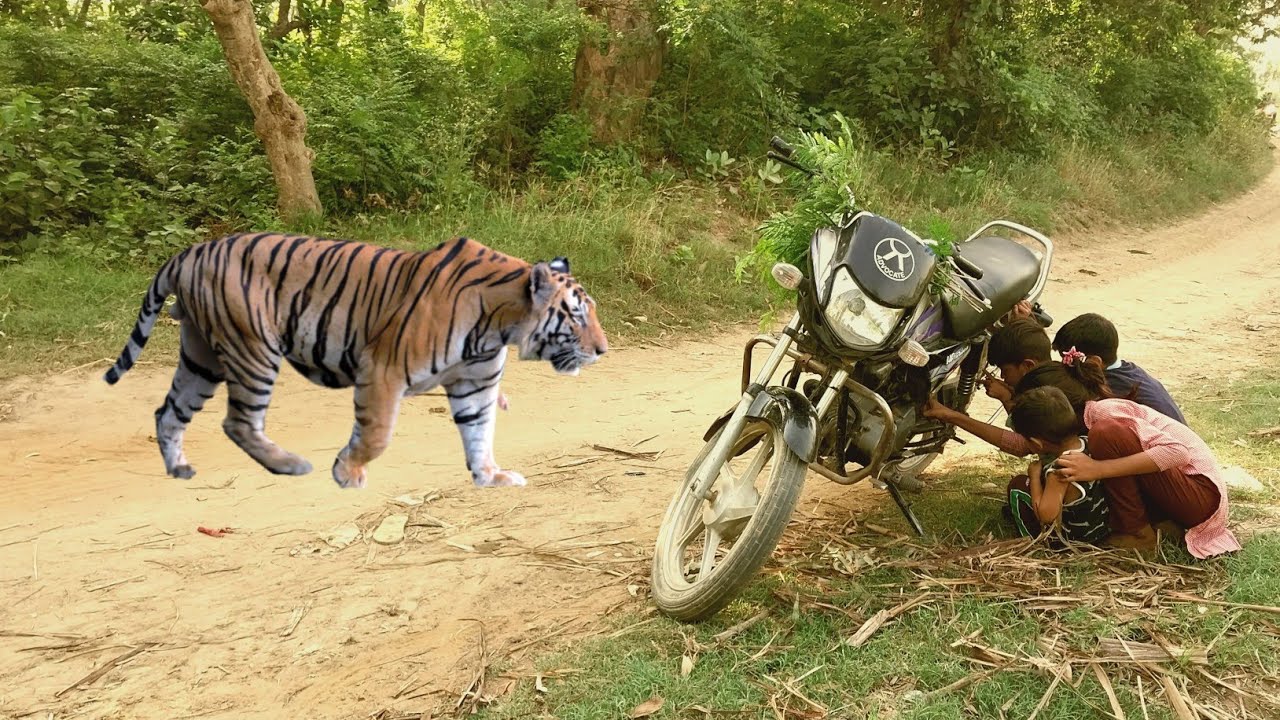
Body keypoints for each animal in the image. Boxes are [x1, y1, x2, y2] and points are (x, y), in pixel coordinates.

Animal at [102, 233, 607, 489]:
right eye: (577, 315)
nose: (603, 350)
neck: (498, 324)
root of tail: (187, 253)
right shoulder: (383, 370)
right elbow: (377, 434)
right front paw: (347, 472)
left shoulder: (476, 384)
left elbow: (480, 432)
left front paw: (490, 476)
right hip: (252, 348)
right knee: (237, 421)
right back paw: (290, 465)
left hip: (201, 356)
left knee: (168, 411)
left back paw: (179, 469)